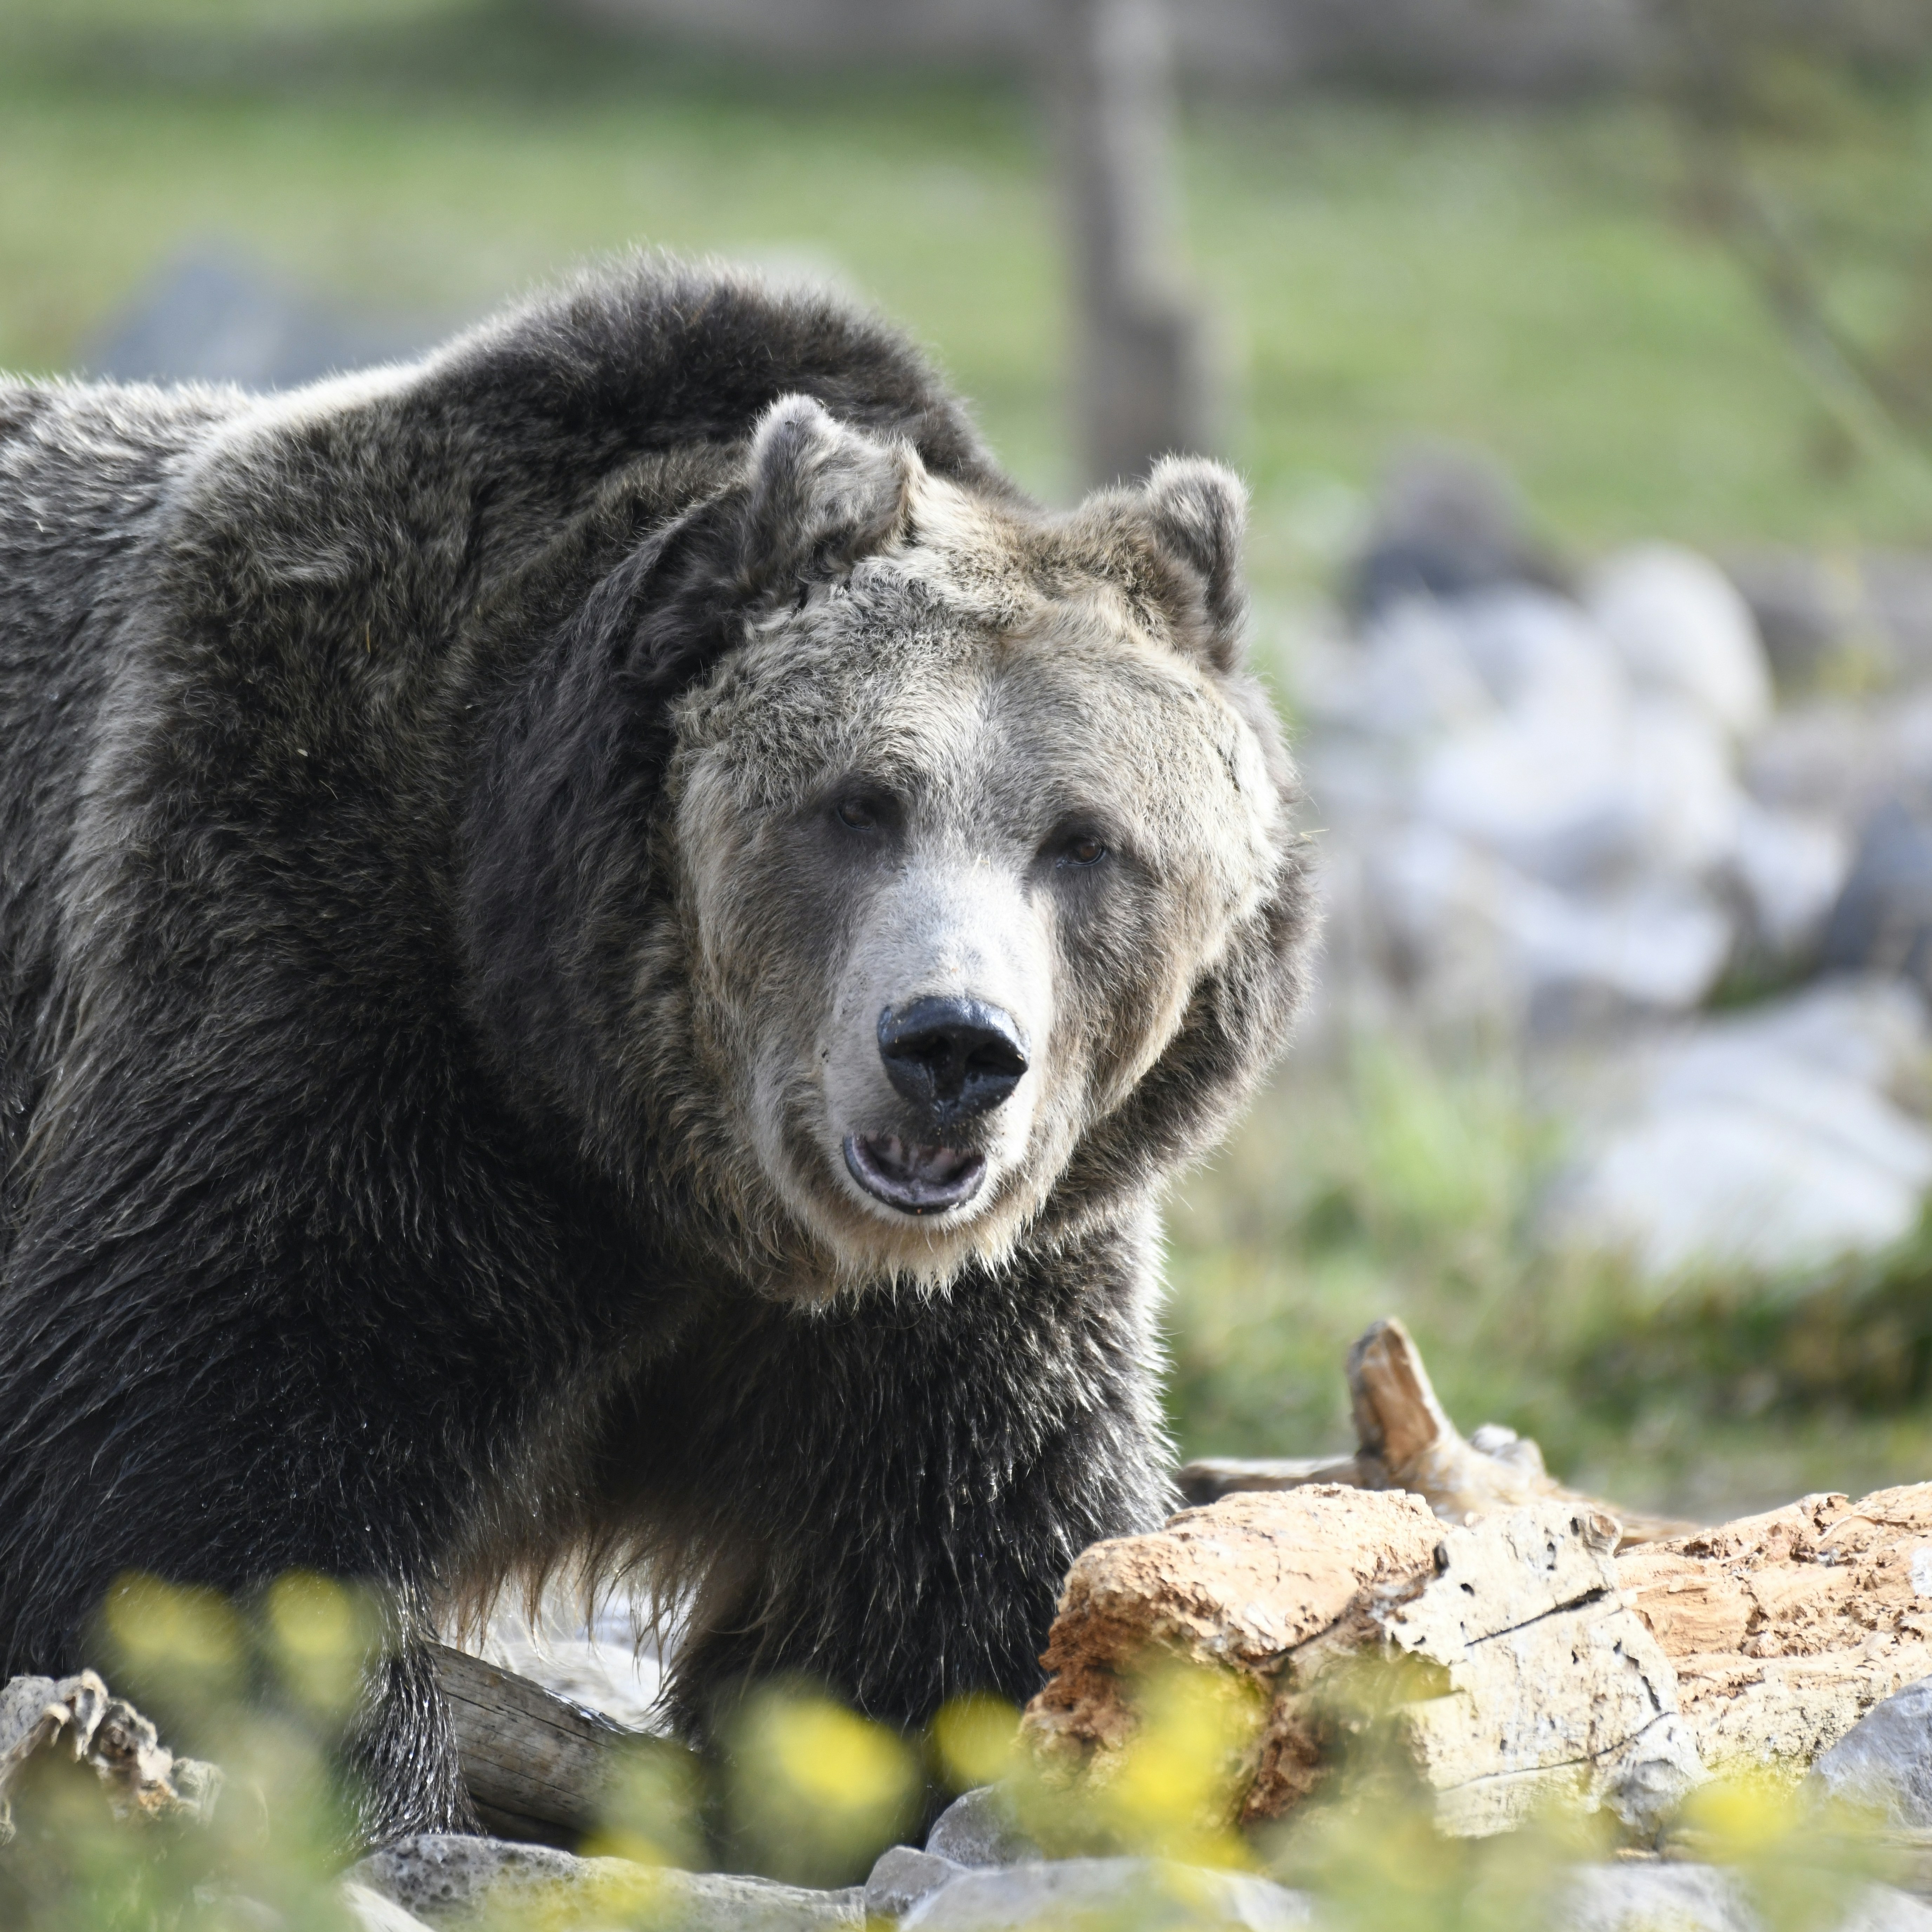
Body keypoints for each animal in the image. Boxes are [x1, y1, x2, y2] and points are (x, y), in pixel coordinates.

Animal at [0, 258, 1312, 1842]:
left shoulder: (958, 1304)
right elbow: (199, 1481)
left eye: (1085, 842)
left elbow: (957, 1567)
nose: (951, 1046)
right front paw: (356, 1779)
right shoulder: (305, 954)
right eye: (860, 802)